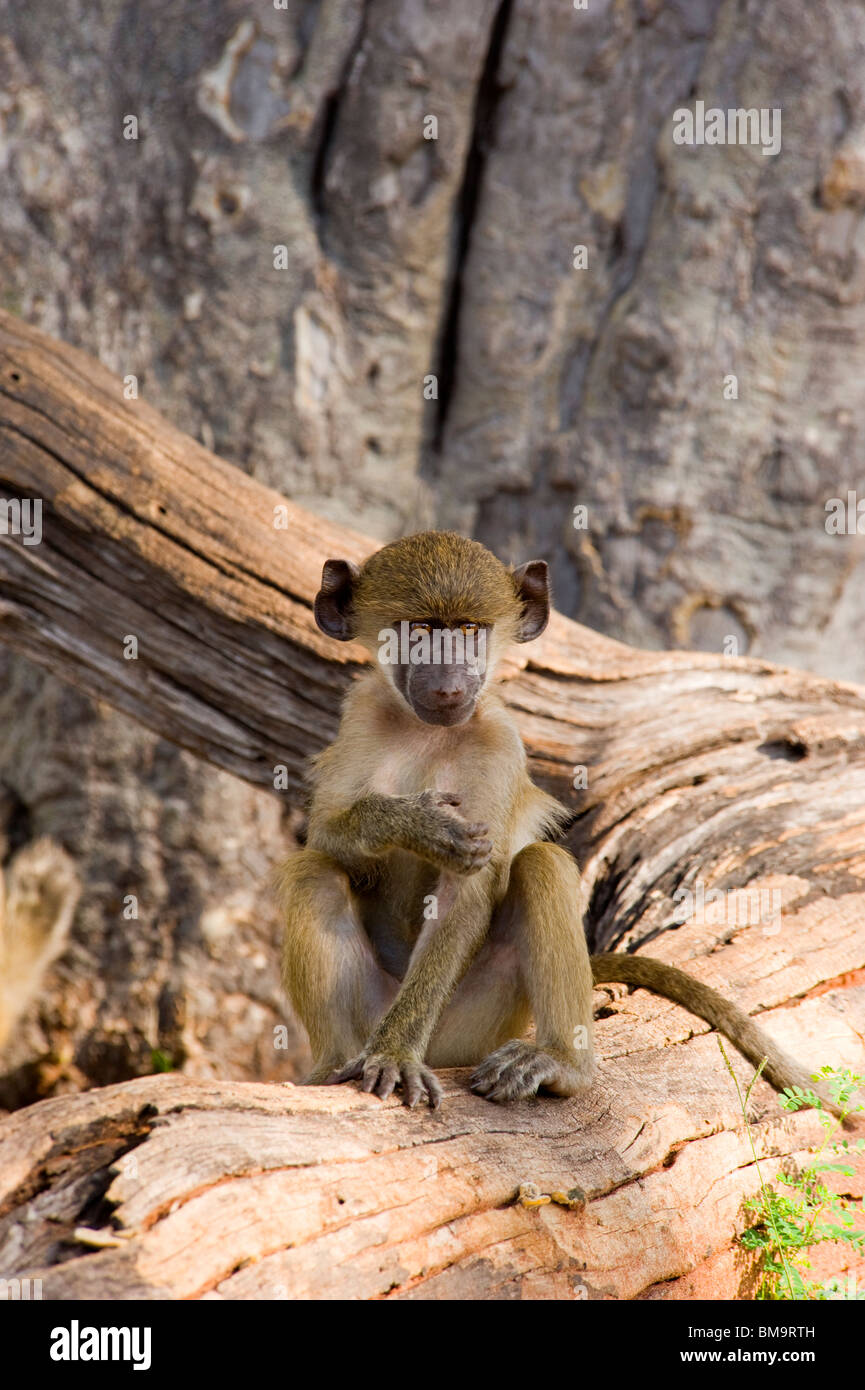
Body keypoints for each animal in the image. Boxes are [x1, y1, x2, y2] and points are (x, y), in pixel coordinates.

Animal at [277, 531, 830, 1112]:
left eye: (468, 631)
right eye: (420, 632)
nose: (450, 688)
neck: (426, 731)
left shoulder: (498, 745)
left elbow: (465, 896)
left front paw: (396, 1054)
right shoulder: (361, 717)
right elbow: (326, 838)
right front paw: (419, 824)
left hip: (474, 1025)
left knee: (541, 864)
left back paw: (561, 1065)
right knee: (312, 874)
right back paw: (333, 1068)